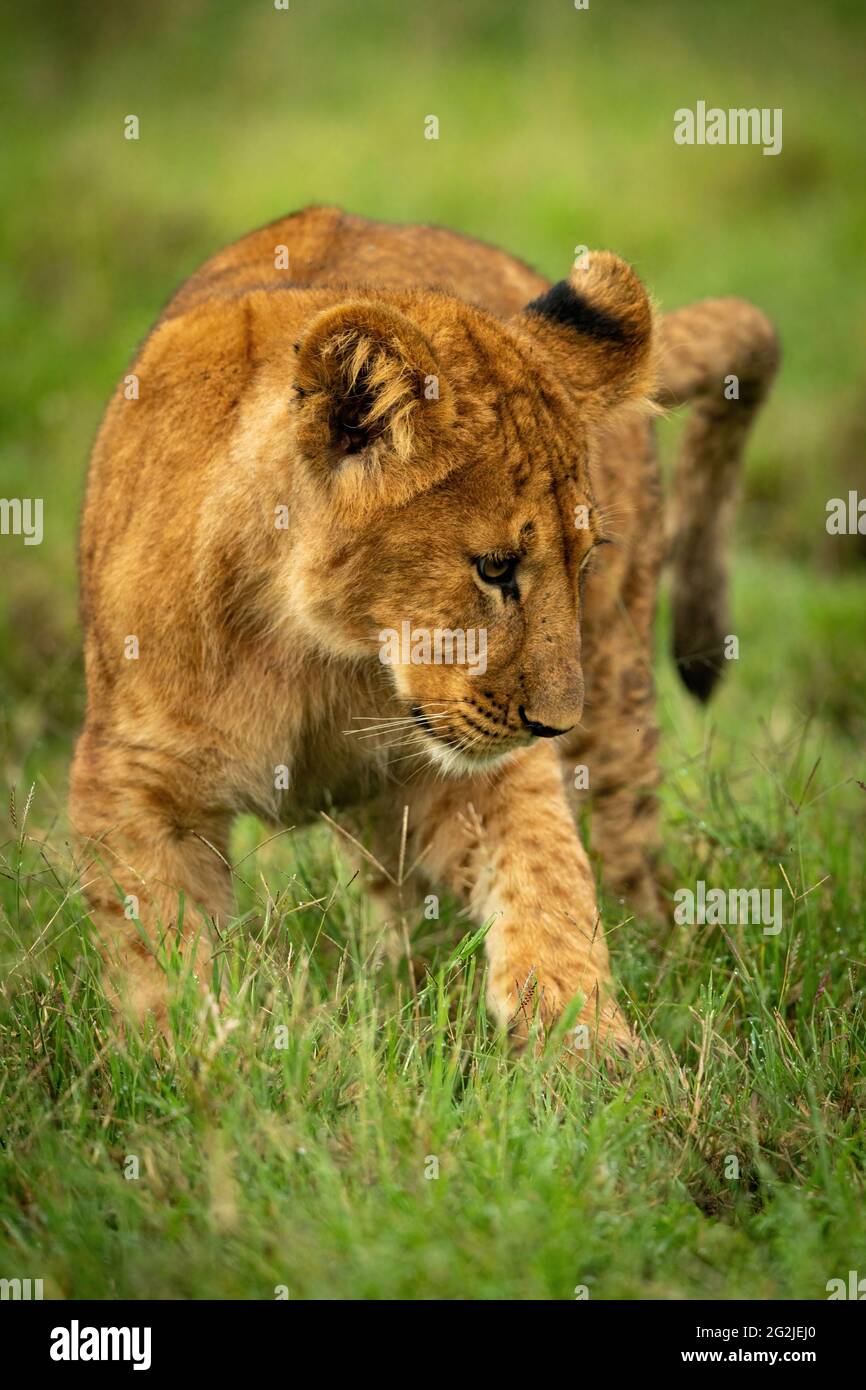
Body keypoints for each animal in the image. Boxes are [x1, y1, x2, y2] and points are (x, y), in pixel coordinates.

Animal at [70, 206, 779, 1054]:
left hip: (615, 697)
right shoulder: (131, 780)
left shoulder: (473, 764)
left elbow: (549, 875)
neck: (308, 650)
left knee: (627, 852)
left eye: (581, 560)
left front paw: (586, 1042)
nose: (554, 725)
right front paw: (198, 1060)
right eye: (496, 568)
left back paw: (655, 954)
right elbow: (160, 958)